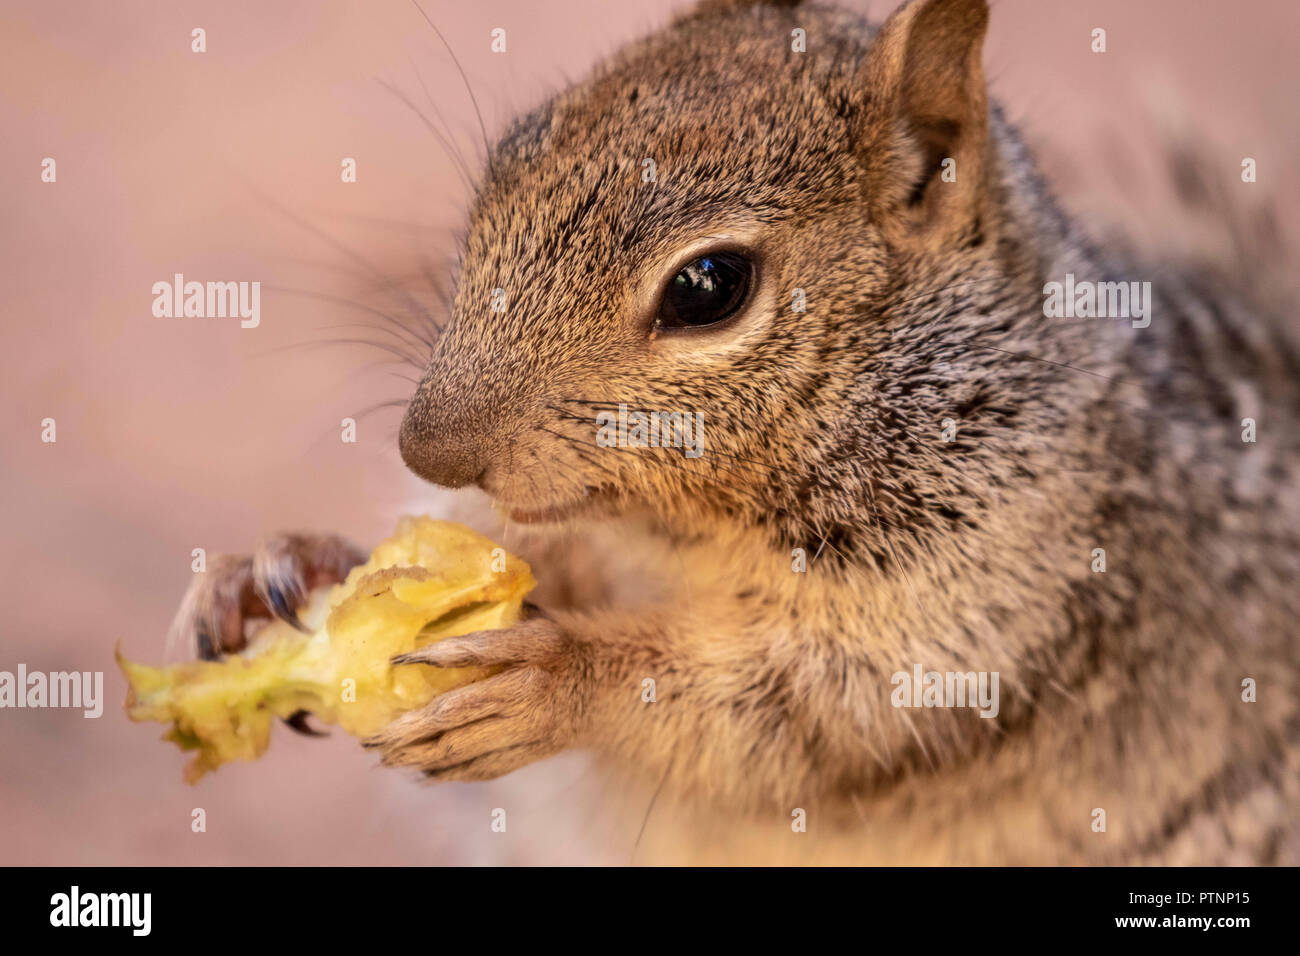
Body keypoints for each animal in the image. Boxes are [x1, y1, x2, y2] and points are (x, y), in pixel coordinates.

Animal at [172, 0, 1299, 864]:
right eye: (507, 160)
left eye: (710, 287)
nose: (431, 452)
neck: (683, 530)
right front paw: (284, 568)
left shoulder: (1007, 580)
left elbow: (803, 710)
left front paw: (557, 682)